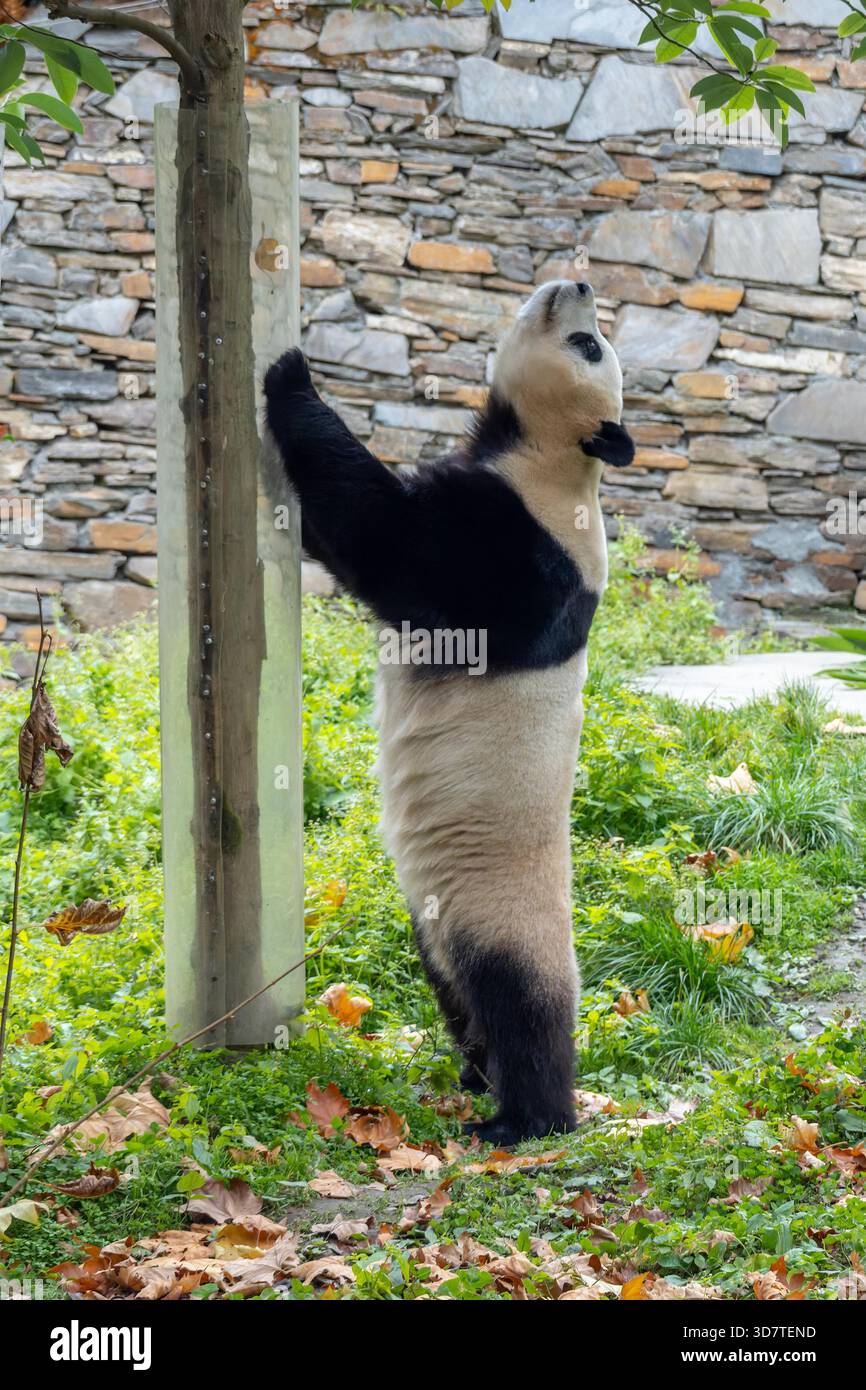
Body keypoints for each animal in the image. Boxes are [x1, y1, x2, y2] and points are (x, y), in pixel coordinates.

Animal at [264, 279, 634, 1146]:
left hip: (504, 908)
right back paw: (473, 1078)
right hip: (433, 922)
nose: (578, 284)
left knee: (521, 1003)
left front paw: (293, 372)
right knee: (455, 993)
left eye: (589, 347)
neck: (552, 453)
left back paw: (526, 1119)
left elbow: (390, 546)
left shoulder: (526, 542)